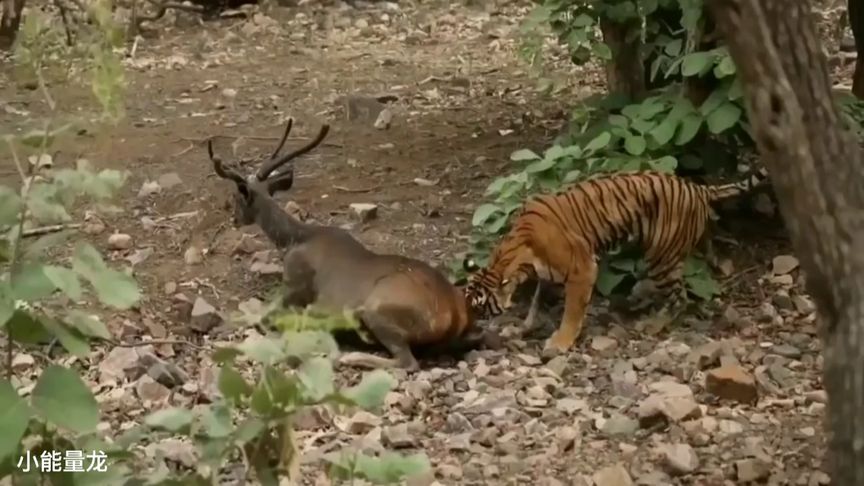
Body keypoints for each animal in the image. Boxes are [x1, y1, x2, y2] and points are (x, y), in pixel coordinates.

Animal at [463, 168, 770, 352]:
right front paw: (524, 327)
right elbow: (536, 303)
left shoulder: (582, 268)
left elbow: (571, 311)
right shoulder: (548, 274)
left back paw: (653, 325)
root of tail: (696, 188)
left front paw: (561, 341)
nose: (467, 327)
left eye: (478, 307)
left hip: (660, 257)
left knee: (679, 297)